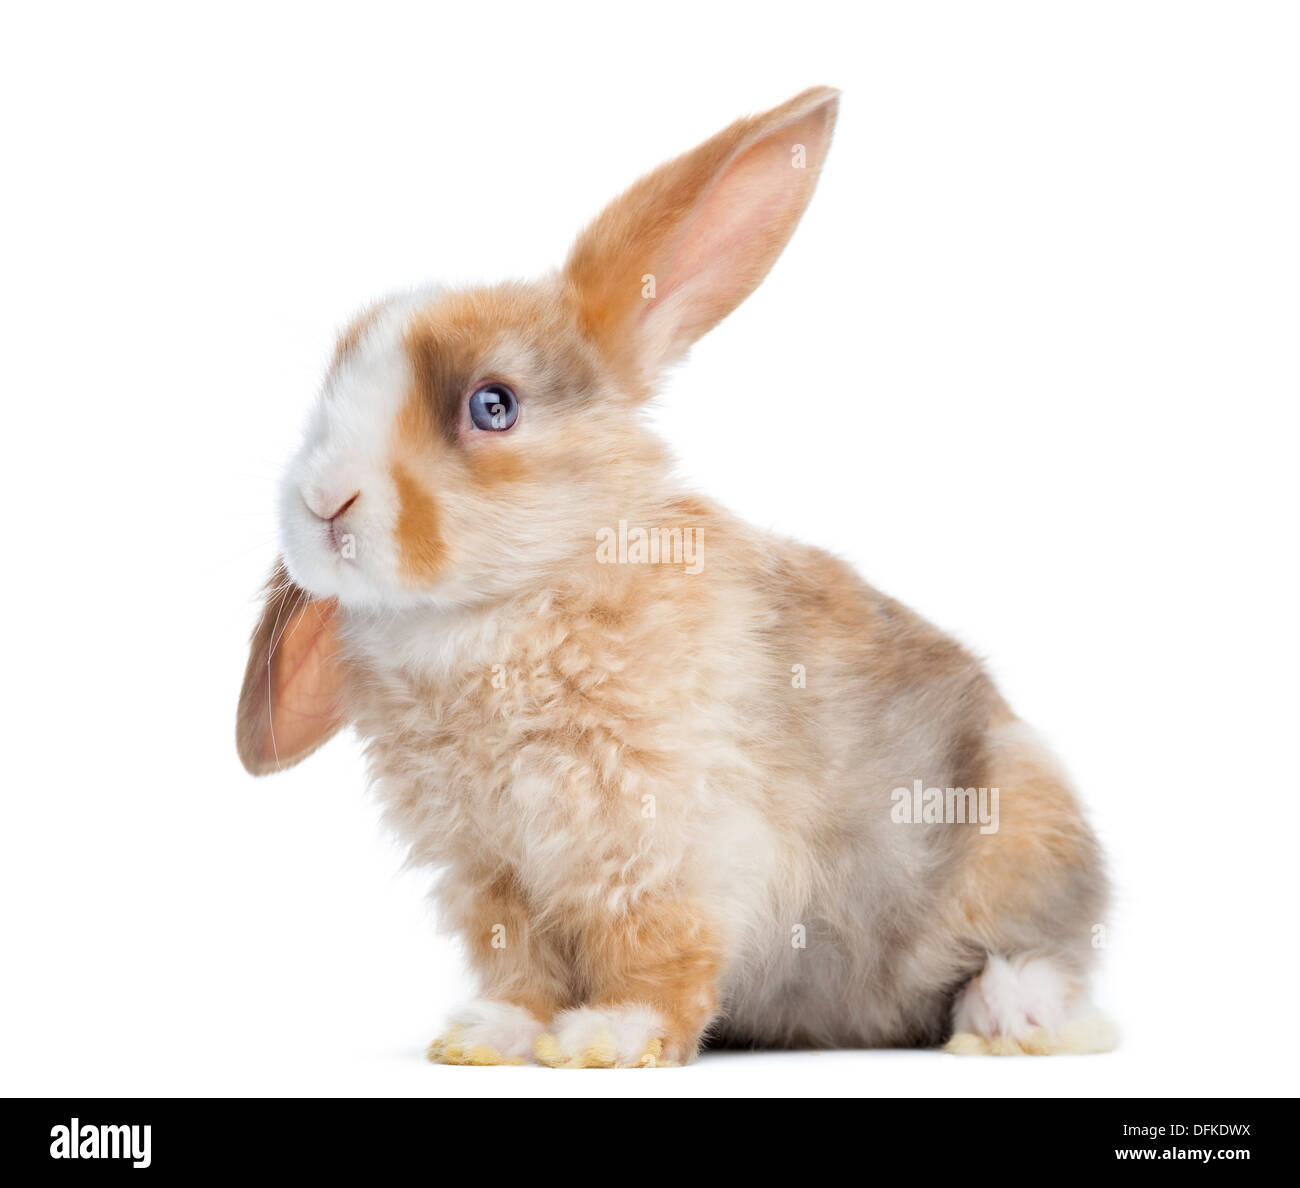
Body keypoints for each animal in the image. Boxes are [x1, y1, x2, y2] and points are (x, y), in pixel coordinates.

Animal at [236, 86, 1112, 1067]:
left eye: (493, 406)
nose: (323, 501)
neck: (497, 607)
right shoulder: (492, 875)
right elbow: (522, 965)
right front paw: (491, 1037)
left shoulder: (666, 846)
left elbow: (656, 951)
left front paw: (607, 1040)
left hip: (1020, 836)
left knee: (1046, 953)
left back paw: (1009, 1018)